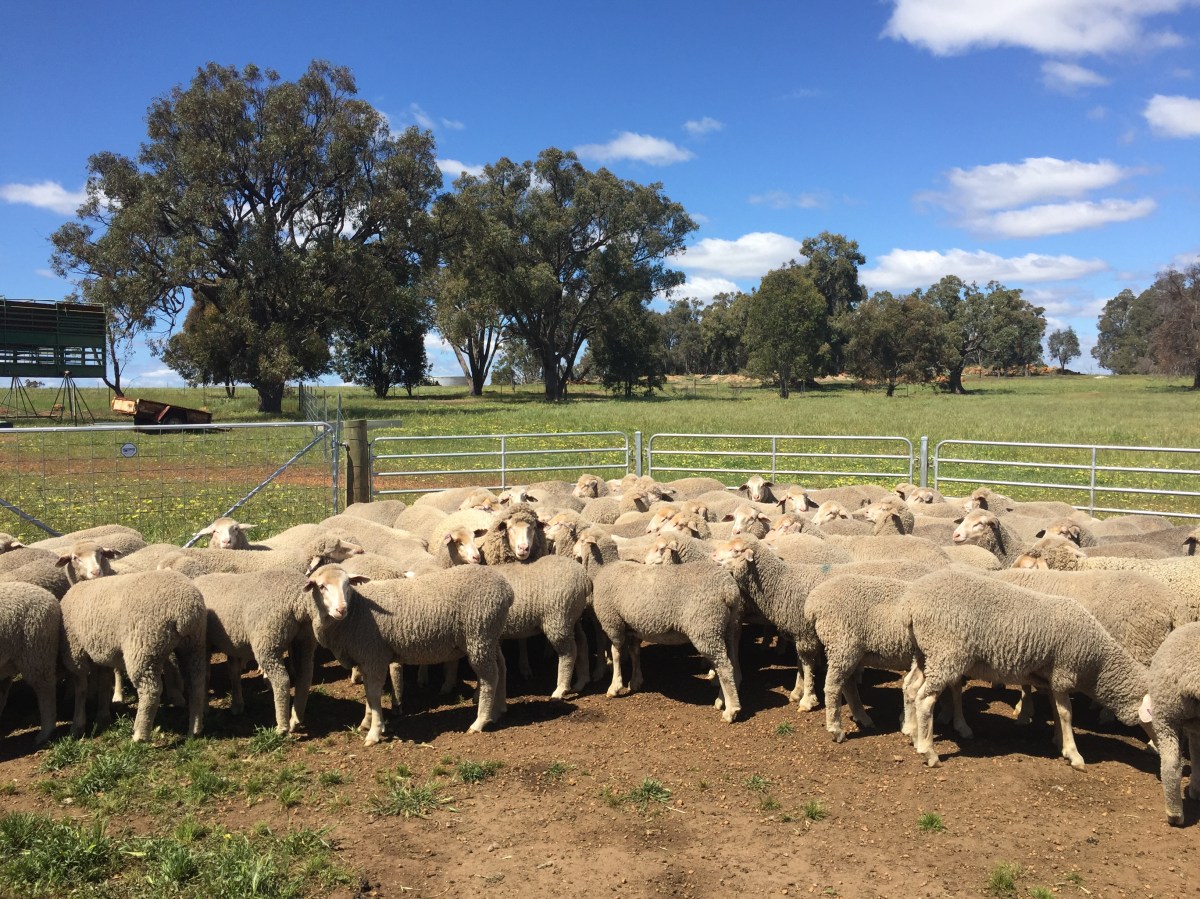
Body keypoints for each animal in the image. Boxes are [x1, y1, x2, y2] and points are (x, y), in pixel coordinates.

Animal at [60, 569, 207, 742]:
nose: (95, 572)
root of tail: (185, 610)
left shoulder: (75, 655)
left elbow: (81, 689)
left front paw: (77, 725)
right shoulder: (102, 652)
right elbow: (103, 683)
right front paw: (102, 716)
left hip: (143, 648)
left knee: (150, 691)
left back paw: (139, 735)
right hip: (194, 645)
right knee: (197, 684)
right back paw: (195, 730)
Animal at [308, 564, 513, 745]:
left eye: (347, 585)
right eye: (321, 586)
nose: (341, 609)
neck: (356, 612)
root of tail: (506, 589)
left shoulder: (374, 655)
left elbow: (374, 694)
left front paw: (374, 732)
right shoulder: (366, 658)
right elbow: (369, 693)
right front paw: (367, 723)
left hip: (479, 634)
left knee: (489, 678)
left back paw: (480, 722)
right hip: (490, 636)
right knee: (502, 667)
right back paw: (498, 711)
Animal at [590, 559, 742, 721]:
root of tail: (729, 590)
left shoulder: (613, 623)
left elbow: (616, 653)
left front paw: (615, 686)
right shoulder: (633, 628)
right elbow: (634, 652)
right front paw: (636, 681)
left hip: (706, 627)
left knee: (724, 668)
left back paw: (731, 711)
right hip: (726, 629)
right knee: (731, 665)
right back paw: (721, 700)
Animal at [900, 567, 1151, 769]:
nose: (1154, 751)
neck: (1097, 663)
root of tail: (911, 604)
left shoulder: (1049, 678)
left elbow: (1056, 710)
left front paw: (1059, 741)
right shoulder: (1063, 673)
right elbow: (1066, 713)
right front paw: (1074, 754)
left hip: (926, 653)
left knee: (911, 687)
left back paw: (913, 734)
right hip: (946, 652)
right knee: (925, 700)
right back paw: (929, 753)